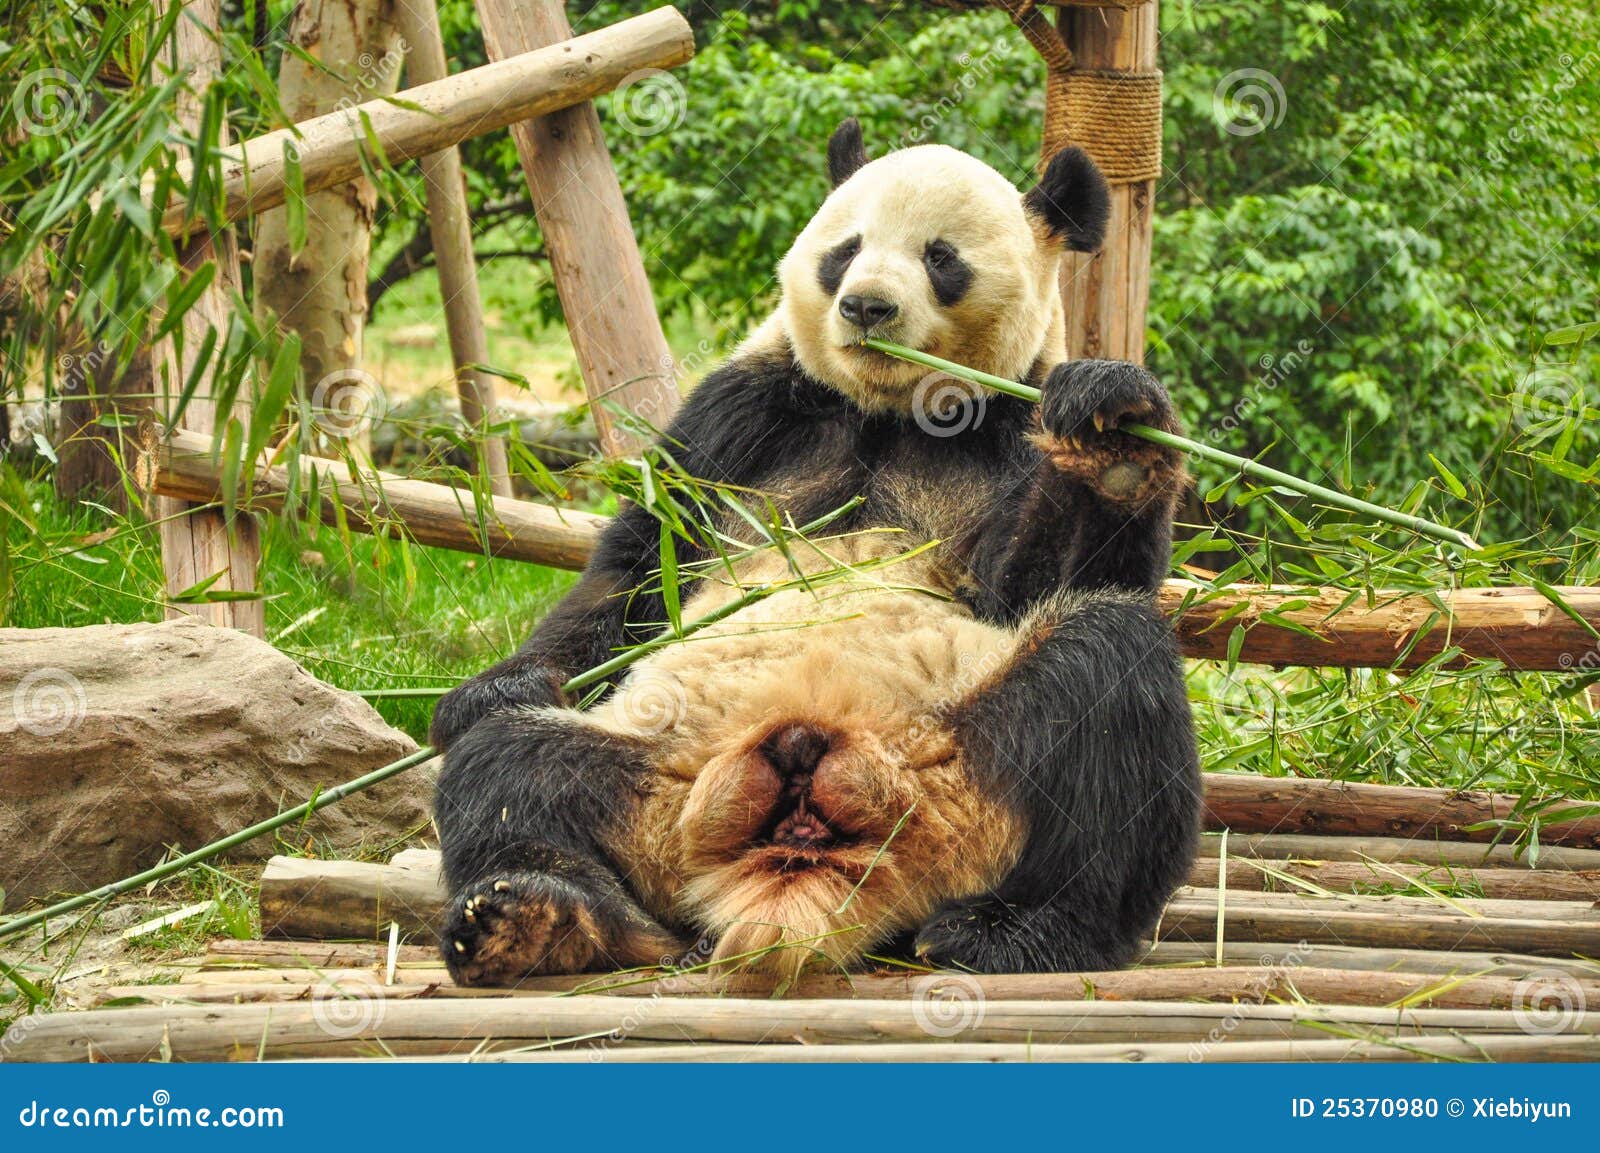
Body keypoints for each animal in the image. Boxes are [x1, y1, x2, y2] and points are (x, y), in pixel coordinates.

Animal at [430, 119, 1200, 986]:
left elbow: (1052, 579)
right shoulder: (746, 410)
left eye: (941, 257)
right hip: (657, 780)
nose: (865, 305)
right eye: (845, 247)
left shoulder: (1011, 423)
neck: (891, 407)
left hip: (974, 756)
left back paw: (1017, 930)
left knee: (1109, 674)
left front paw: (1111, 434)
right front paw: (499, 683)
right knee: (506, 769)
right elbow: (640, 567)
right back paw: (537, 917)